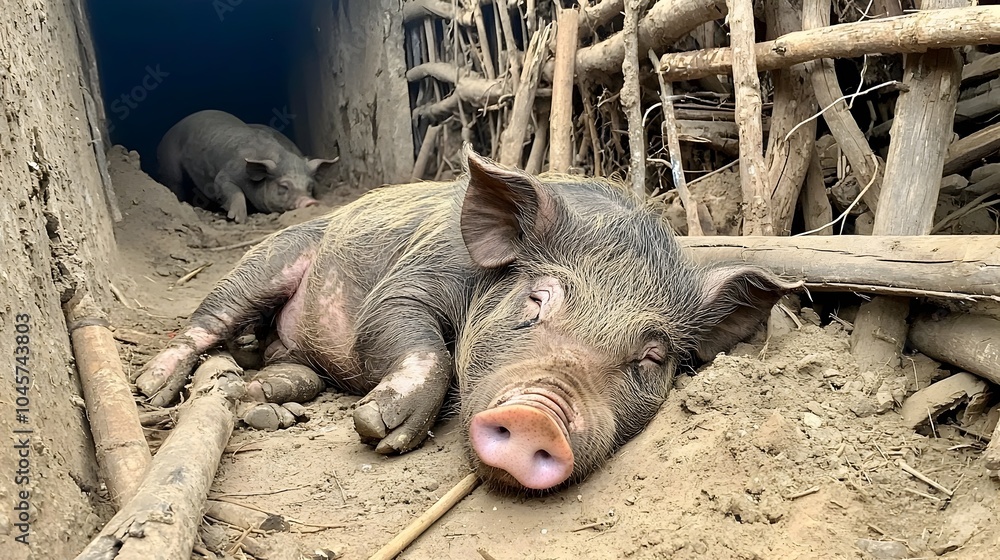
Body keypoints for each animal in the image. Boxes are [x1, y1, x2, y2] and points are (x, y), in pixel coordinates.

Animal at [135, 149, 798, 492]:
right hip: (271, 259)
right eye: (536, 300)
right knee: (209, 321)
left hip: (297, 357)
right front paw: (381, 431)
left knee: (288, 372)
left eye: (654, 358)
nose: (536, 416)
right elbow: (400, 329)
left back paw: (264, 406)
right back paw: (153, 389)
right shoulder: (409, 280)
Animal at [157, 110, 337, 223]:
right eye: (283, 186)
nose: (309, 202)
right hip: (169, 163)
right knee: (175, 183)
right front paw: (238, 219)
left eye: (309, 187)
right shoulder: (224, 174)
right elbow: (231, 189)